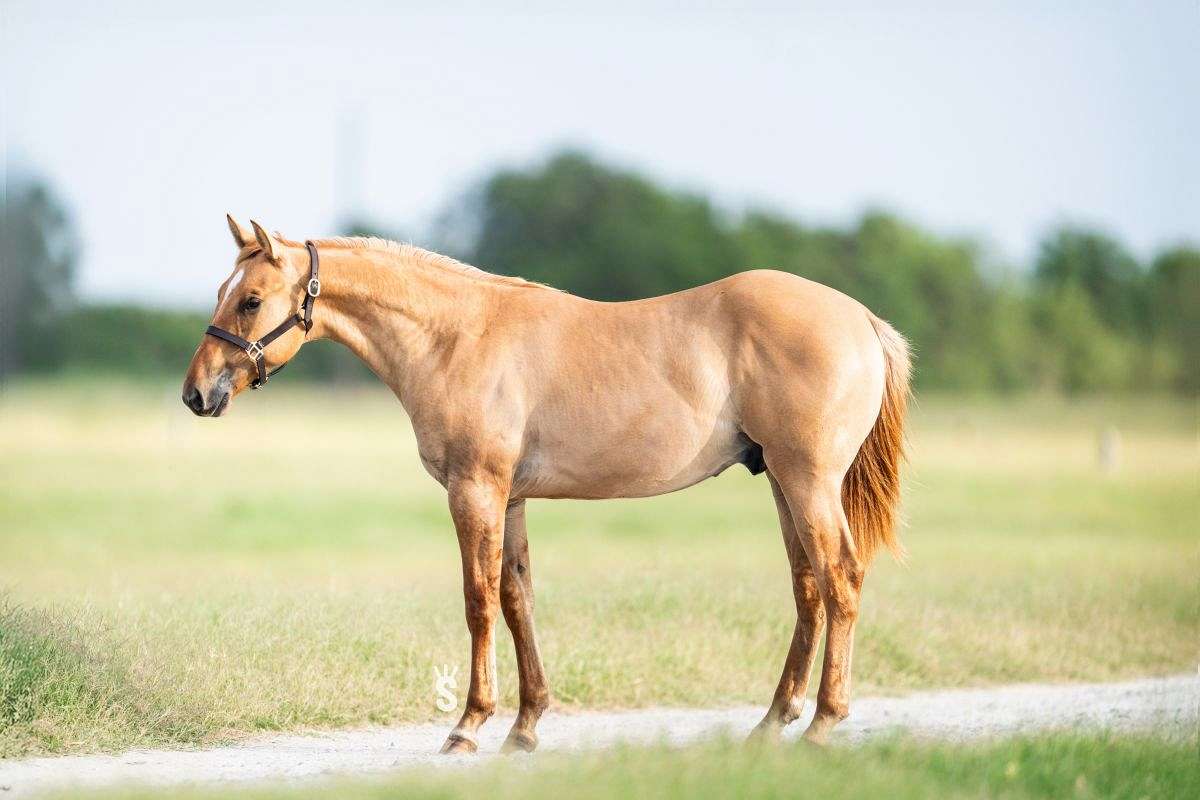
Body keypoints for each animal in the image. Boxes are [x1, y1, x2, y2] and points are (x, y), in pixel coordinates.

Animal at [183, 216, 911, 754]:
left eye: (251, 300)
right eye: (222, 289)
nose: (197, 394)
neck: (456, 337)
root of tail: (862, 321)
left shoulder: (475, 489)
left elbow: (479, 601)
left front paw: (468, 727)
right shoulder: (511, 497)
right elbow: (517, 597)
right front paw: (526, 725)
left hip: (808, 480)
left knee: (840, 579)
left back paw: (822, 722)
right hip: (783, 483)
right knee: (809, 586)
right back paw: (773, 721)